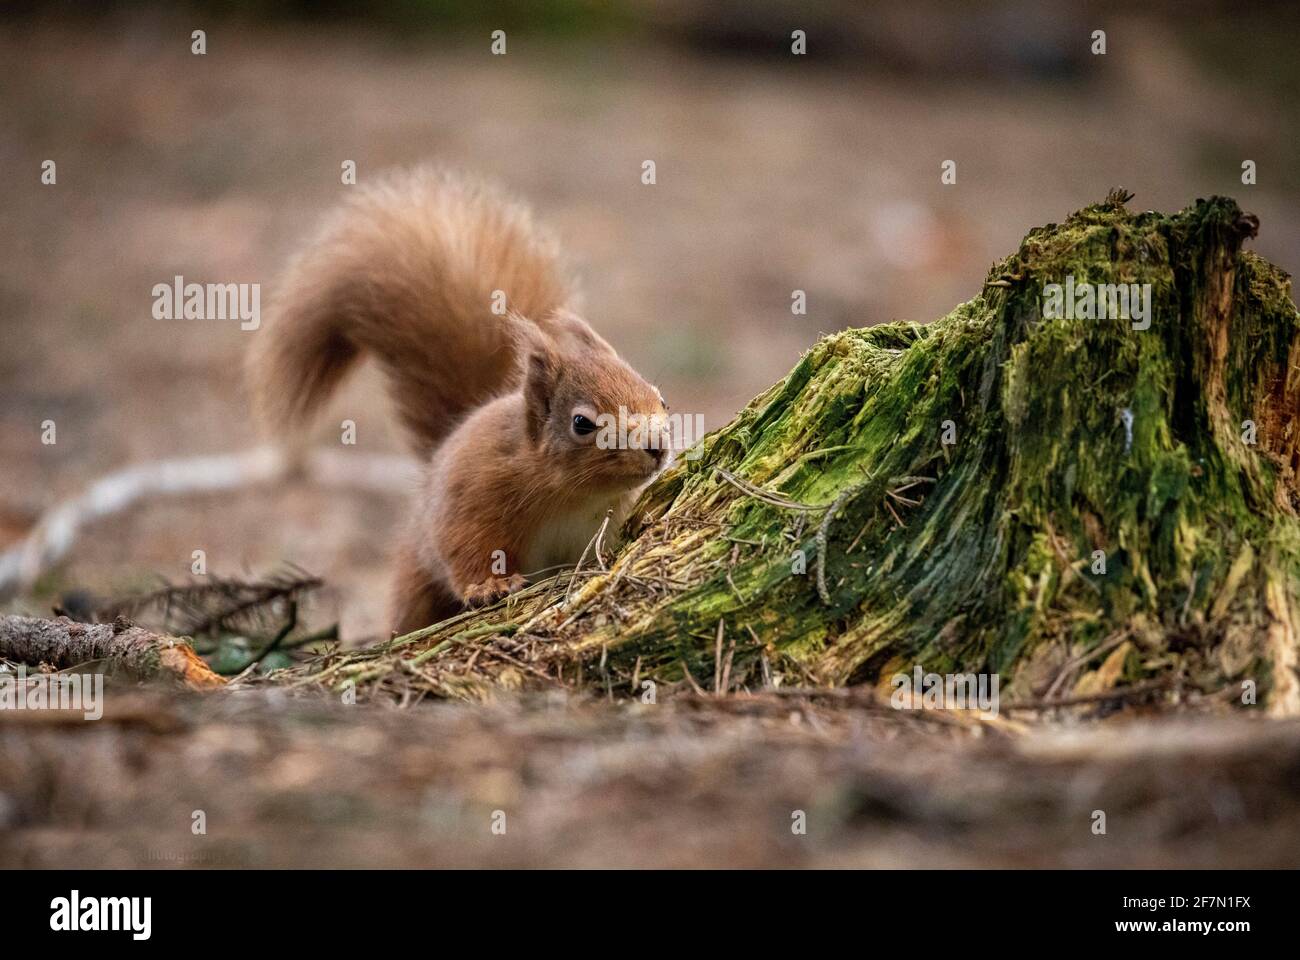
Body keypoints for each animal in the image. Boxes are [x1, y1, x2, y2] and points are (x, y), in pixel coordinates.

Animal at [247, 166, 673, 635]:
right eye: (583, 423)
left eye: (661, 399)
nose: (657, 446)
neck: (570, 495)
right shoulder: (475, 491)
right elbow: (467, 546)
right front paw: (488, 586)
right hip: (415, 576)